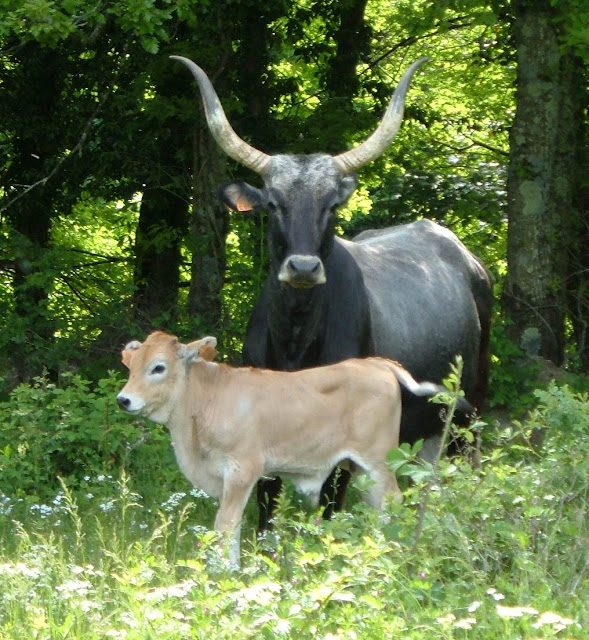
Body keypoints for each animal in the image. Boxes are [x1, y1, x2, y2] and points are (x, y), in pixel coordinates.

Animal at [116, 331, 474, 567]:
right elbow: (229, 527)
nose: (124, 399)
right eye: (130, 367)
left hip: (378, 460)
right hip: (360, 469)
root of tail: (375, 364)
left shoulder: (243, 470)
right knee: (377, 507)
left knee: (393, 502)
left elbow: (226, 524)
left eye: (158, 367)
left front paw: (225, 574)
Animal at [171, 55, 493, 530]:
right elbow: (265, 503)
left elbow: (329, 505)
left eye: (331, 206)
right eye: (273, 204)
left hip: (466, 416)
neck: (295, 340)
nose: (303, 267)